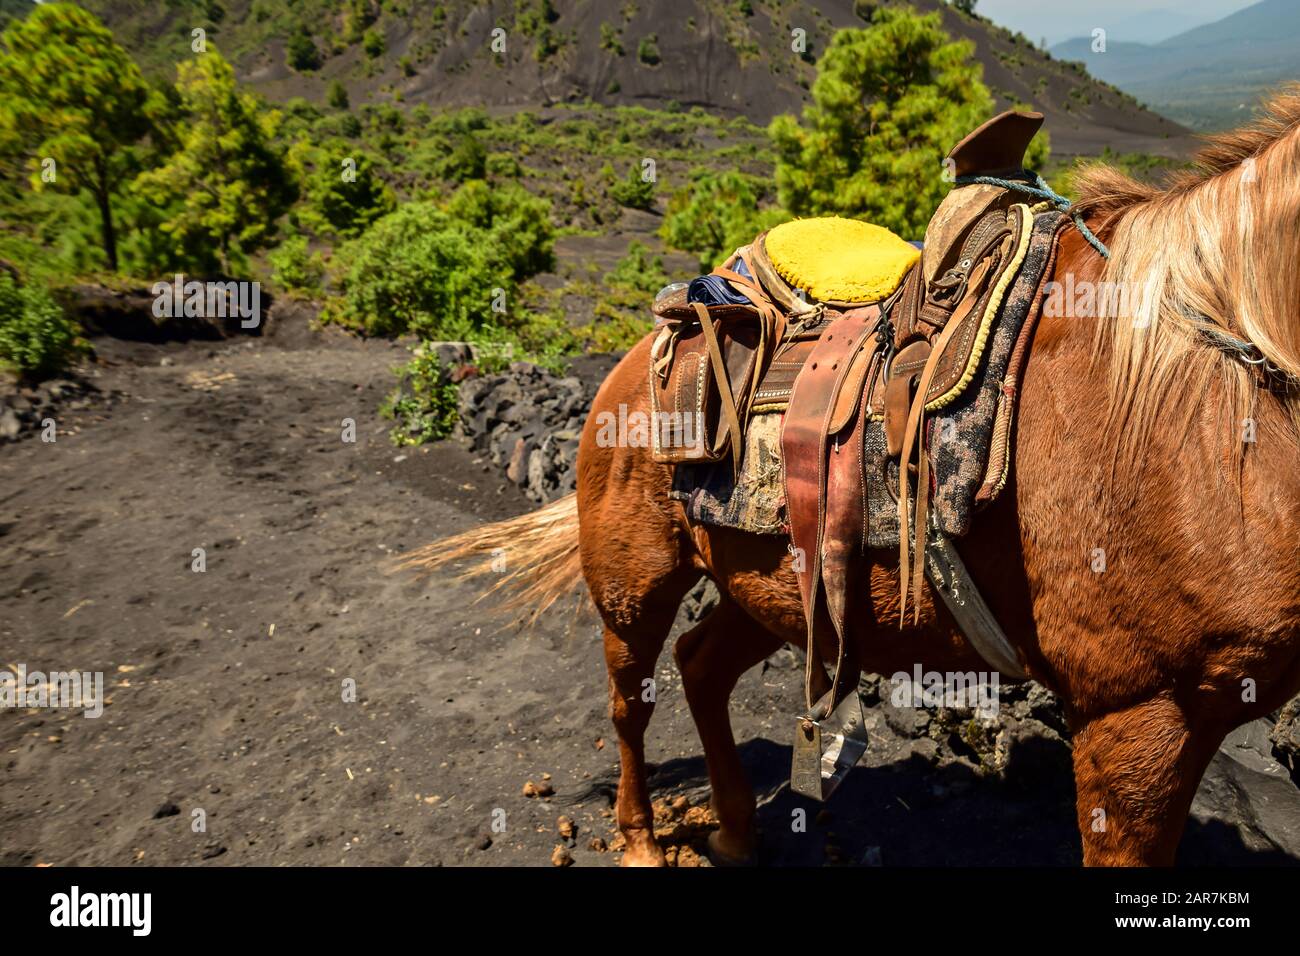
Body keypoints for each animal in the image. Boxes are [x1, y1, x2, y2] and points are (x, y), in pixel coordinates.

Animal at [403, 90, 1300, 866]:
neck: (1203, 395)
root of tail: (639, 354)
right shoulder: (1138, 714)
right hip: (635, 583)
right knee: (631, 701)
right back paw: (640, 843)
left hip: (768, 585)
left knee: (700, 666)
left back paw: (736, 832)